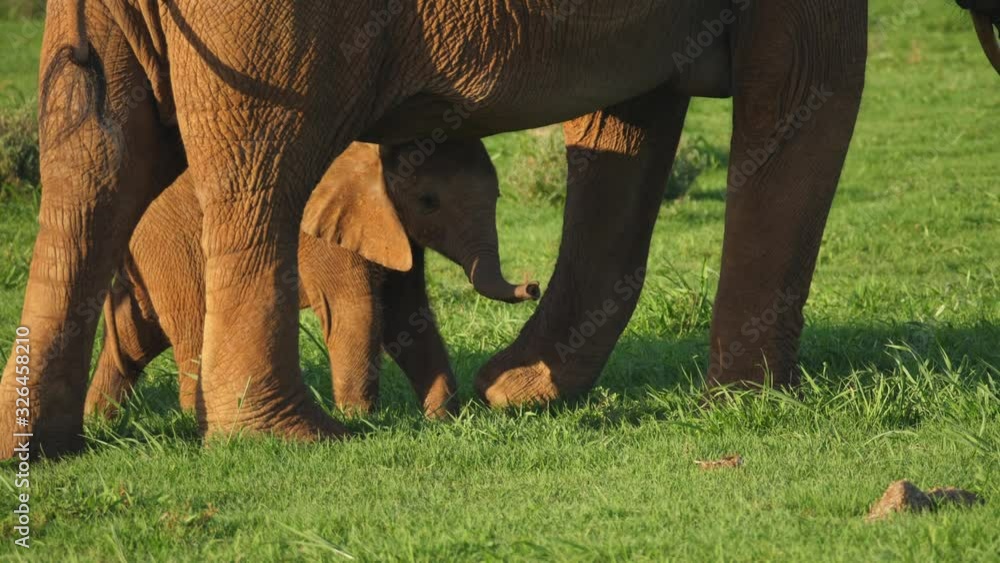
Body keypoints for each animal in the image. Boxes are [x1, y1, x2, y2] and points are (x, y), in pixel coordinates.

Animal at [84, 140, 539, 421]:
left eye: (498, 196)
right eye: (429, 202)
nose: (533, 286)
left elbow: (407, 315)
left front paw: (442, 418)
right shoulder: (326, 231)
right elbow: (357, 312)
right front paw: (361, 421)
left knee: (136, 334)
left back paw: (98, 421)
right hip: (171, 246)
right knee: (191, 326)